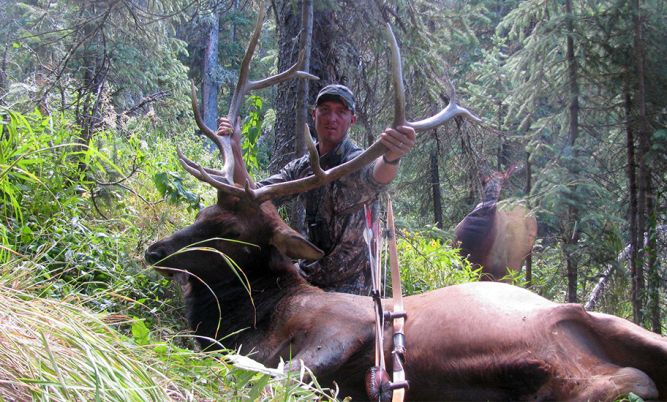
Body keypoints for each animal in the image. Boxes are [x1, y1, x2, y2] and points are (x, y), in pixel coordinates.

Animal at [145, 4, 667, 400]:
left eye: (231, 232)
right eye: (203, 212)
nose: (154, 250)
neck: (254, 316)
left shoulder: (343, 328)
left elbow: (274, 371)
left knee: (626, 380)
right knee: (628, 378)